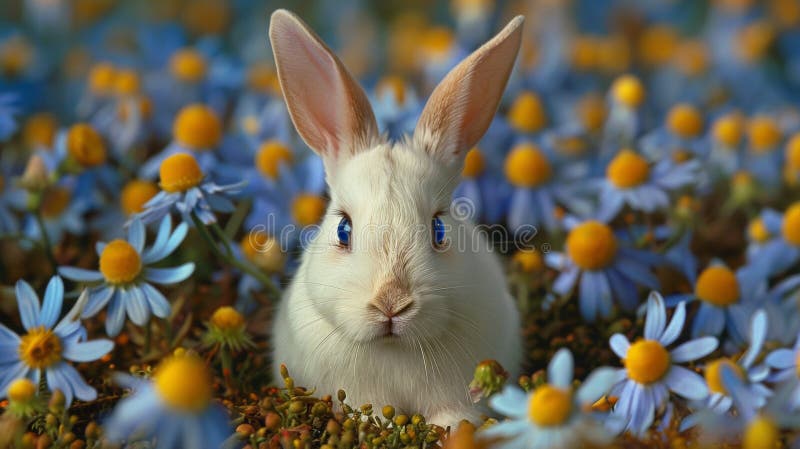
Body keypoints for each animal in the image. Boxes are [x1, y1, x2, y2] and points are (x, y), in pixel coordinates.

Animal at [268, 9, 524, 428]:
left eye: (439, 228)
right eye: (343, 229)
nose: (391, 303)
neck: (396, 350)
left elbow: (454, 417)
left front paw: (450, 431)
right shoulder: (361, 395)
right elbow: (375, 416)